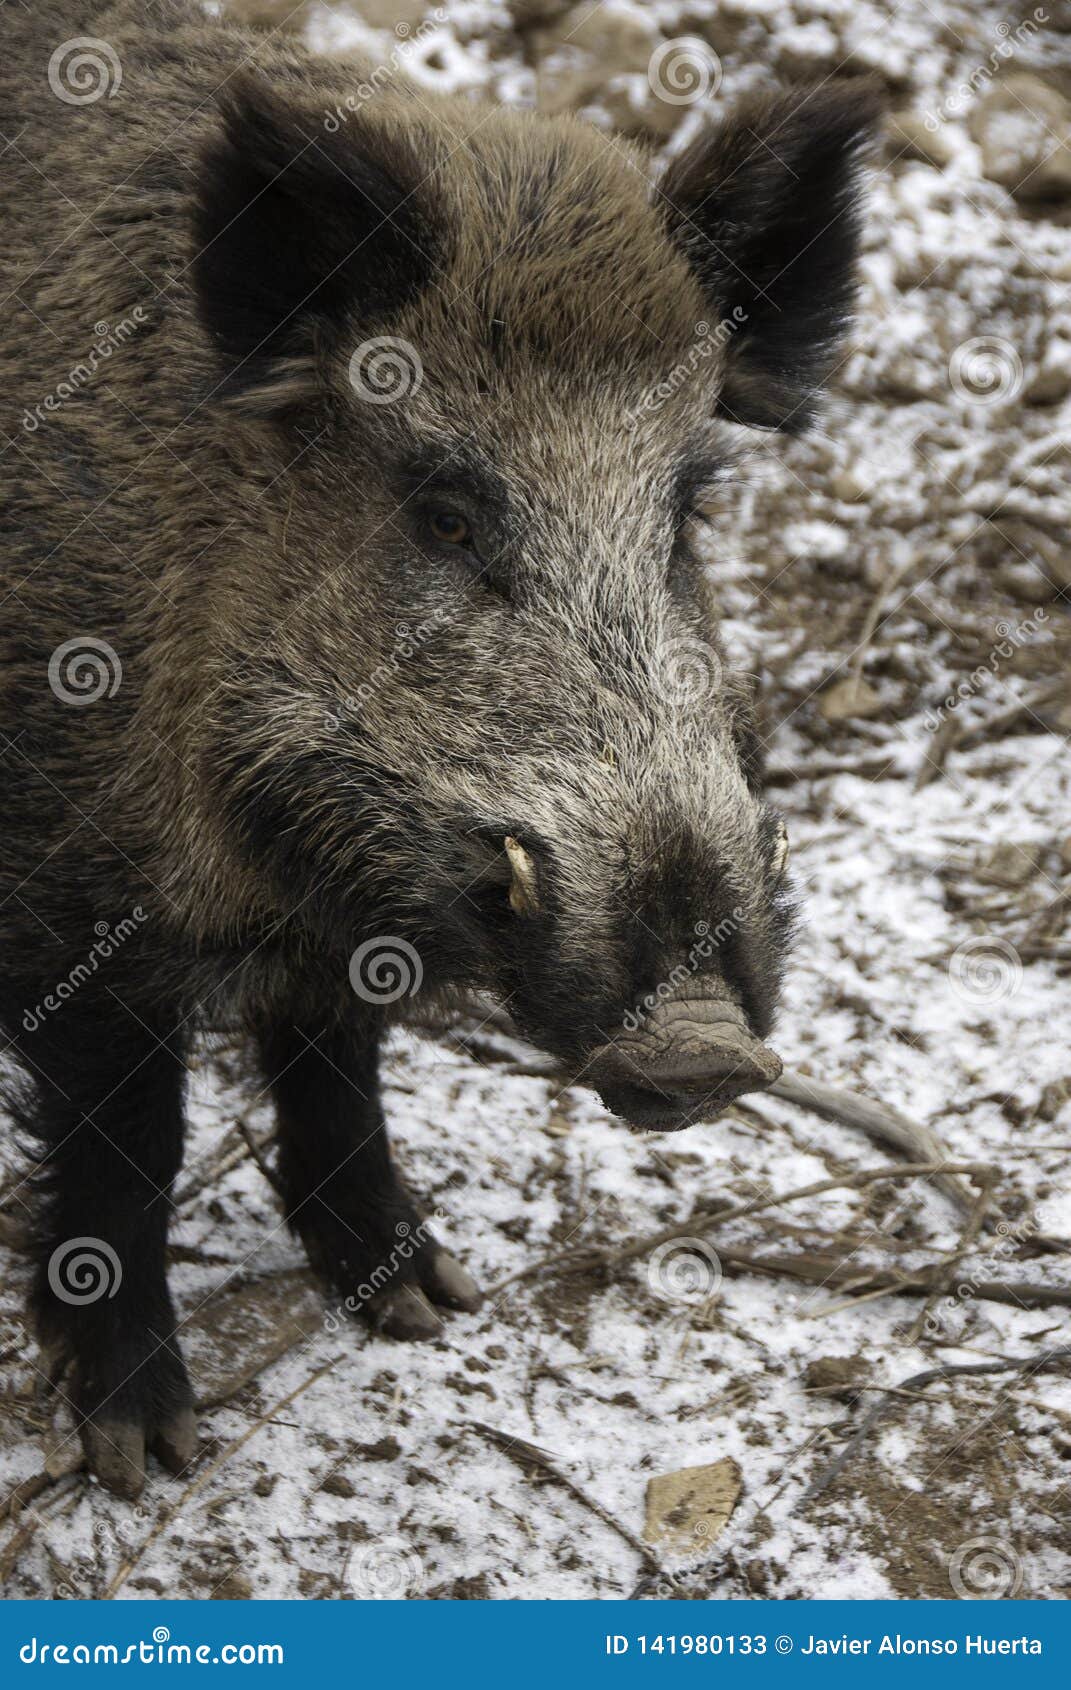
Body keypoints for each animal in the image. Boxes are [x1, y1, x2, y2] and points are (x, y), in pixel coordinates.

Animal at [0, 0, 878, 1495]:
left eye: (683, 515)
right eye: (446, 514)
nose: (701, 1043)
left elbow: (338, 1063)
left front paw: (422, 1303)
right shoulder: (70, 885)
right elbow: (131, 1140)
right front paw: (143, 1451)